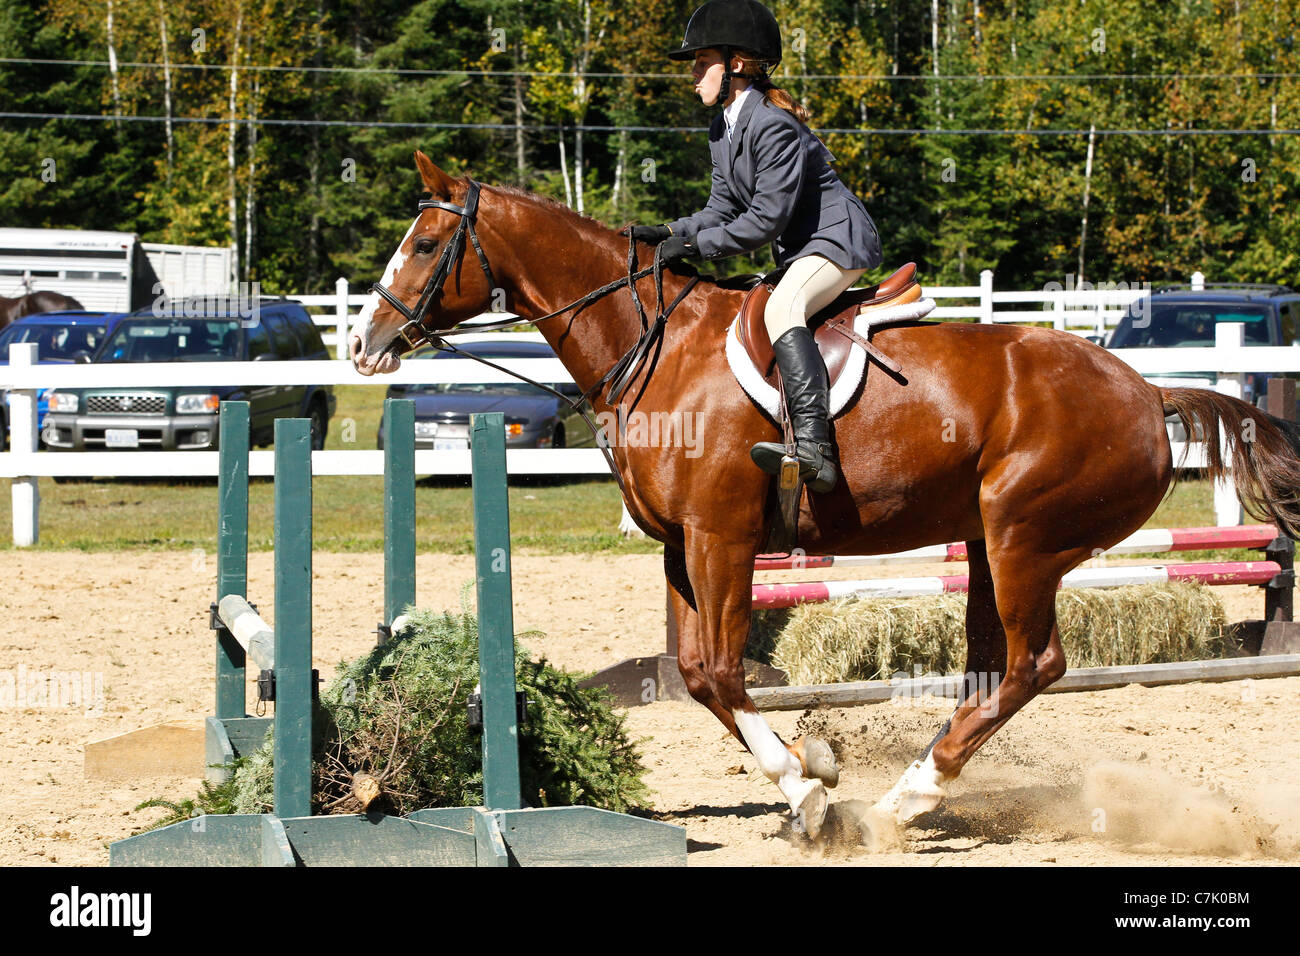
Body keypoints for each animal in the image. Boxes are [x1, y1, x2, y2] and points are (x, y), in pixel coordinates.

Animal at [350, 151, 1300, 842]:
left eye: (427, 246)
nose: (365, 344)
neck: (654, 344)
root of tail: (1147, 390)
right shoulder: (681, 544)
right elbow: (695, 674)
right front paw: (816, 764)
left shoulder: (723, 536)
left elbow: (721, 672)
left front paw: (806, 791)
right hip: (987, 545)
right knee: (991, 667)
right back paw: (919, 789)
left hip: (1024, 537)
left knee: (1035, 664)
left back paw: (908, 796)